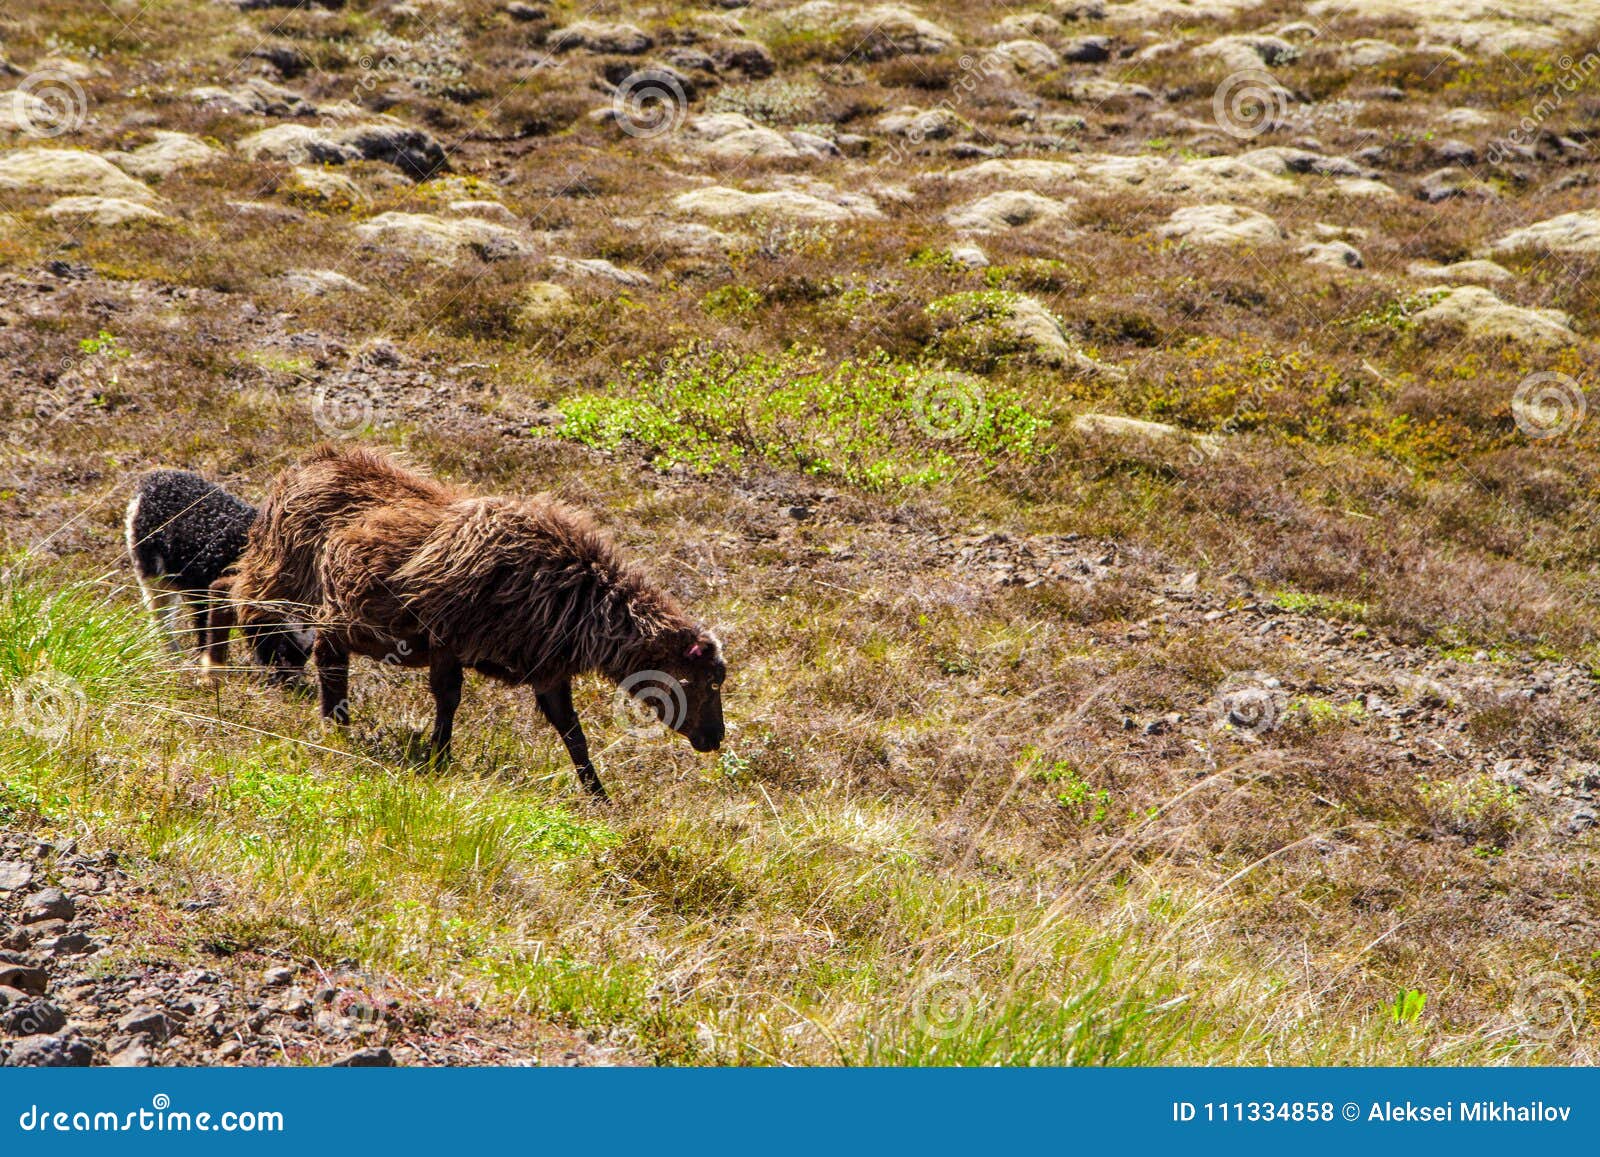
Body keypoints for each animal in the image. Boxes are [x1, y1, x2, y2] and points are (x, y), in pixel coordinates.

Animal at [125, 469, 311, 679]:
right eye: (281, 644)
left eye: (307, 653)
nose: (288, 680)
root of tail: (154, 477)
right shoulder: (207, 592)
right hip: (149, 566)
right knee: (160, 613)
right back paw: (172, 655)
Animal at [212, 446, 725, 799]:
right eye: (707, 680)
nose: (715, 739)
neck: (582, 599)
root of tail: (308, 464)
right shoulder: (448, 641)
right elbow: (449, 700)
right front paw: (439, 759)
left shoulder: (546, 670)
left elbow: (571, 731)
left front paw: (598, 795)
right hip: (288, 577)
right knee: (249, 606)